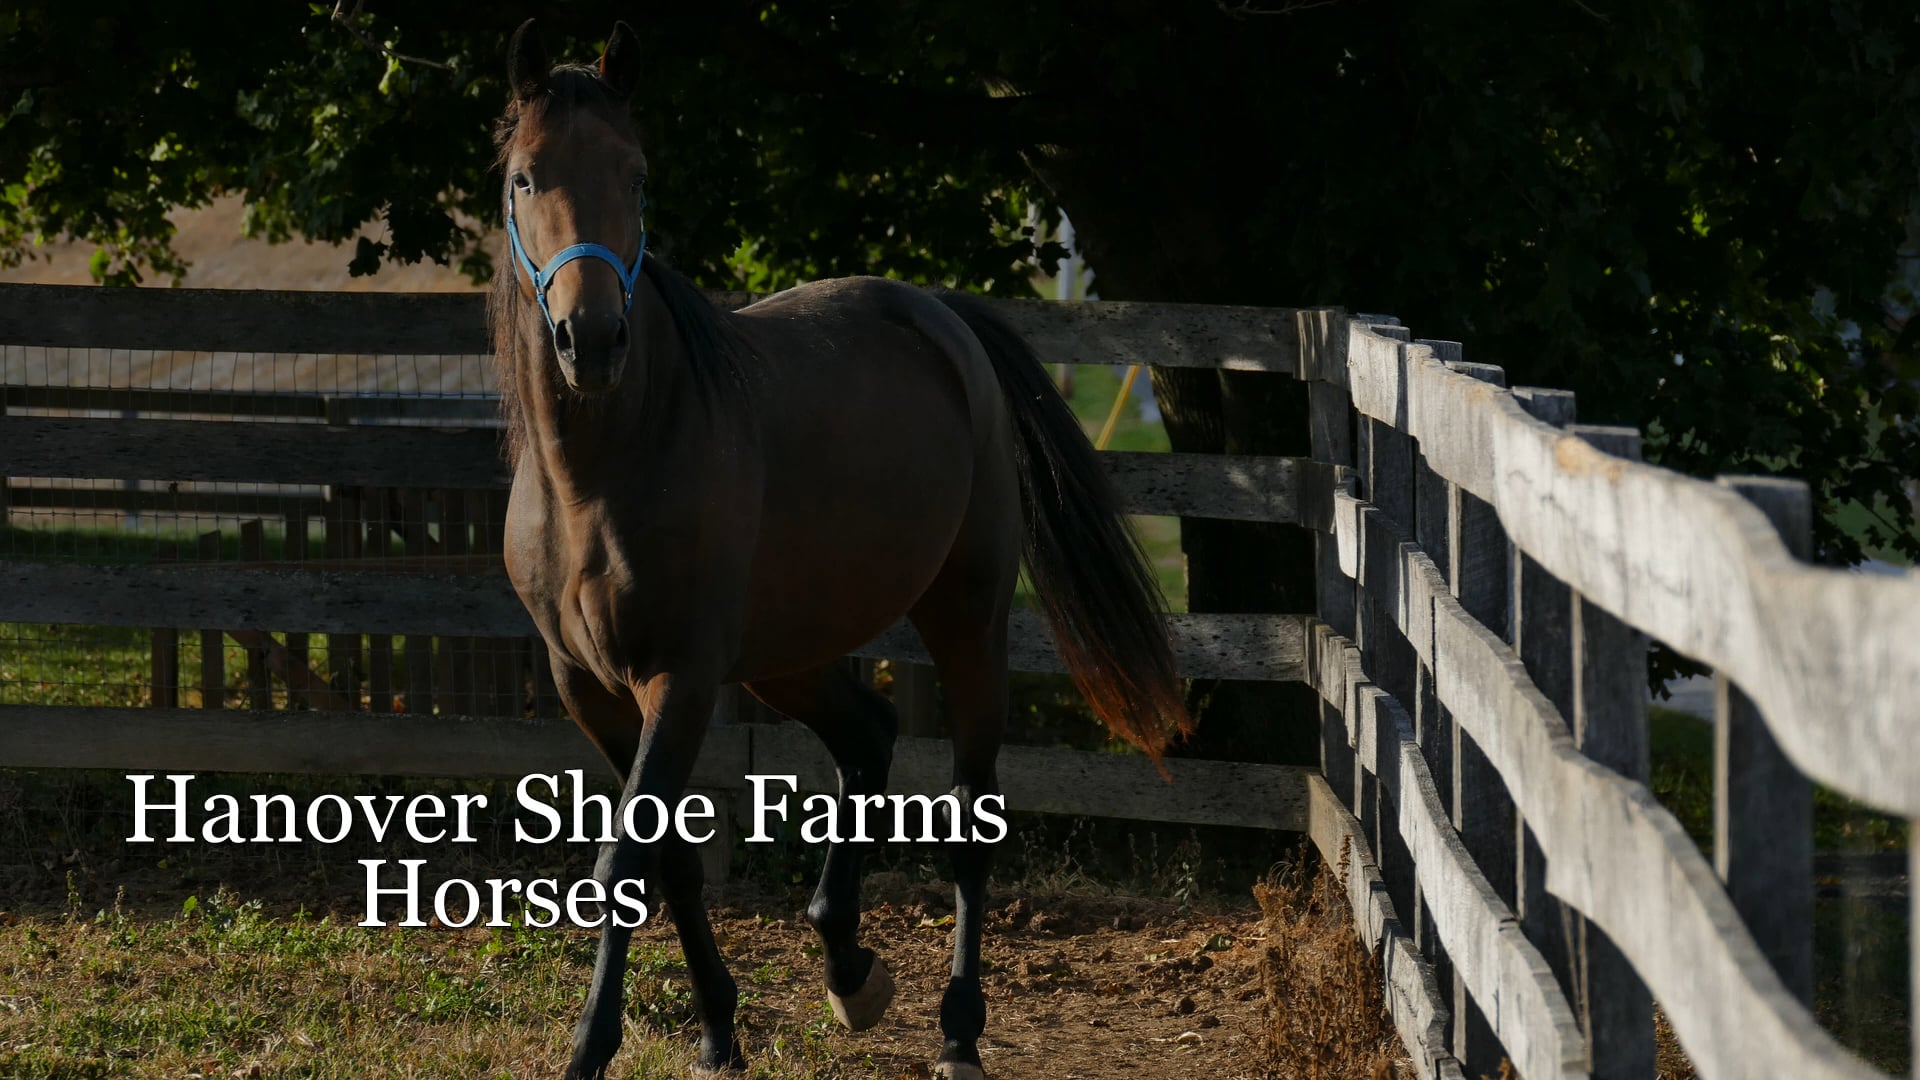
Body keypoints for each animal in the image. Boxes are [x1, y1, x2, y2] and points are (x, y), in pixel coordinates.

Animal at [490, 20, 1191, 1079]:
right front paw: (717, 1033)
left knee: (969, 816)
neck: (606, 468)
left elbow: (628, 859)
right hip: (786, 654)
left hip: (966, 616)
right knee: (867, 732)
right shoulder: (591, 689)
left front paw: (590, 1047)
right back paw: (850, 966)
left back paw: (957, 1030)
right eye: (527, 177)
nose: (594, 338)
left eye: (638, 175)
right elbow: (671, 858)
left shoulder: (679, 679)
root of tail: (945, 318)